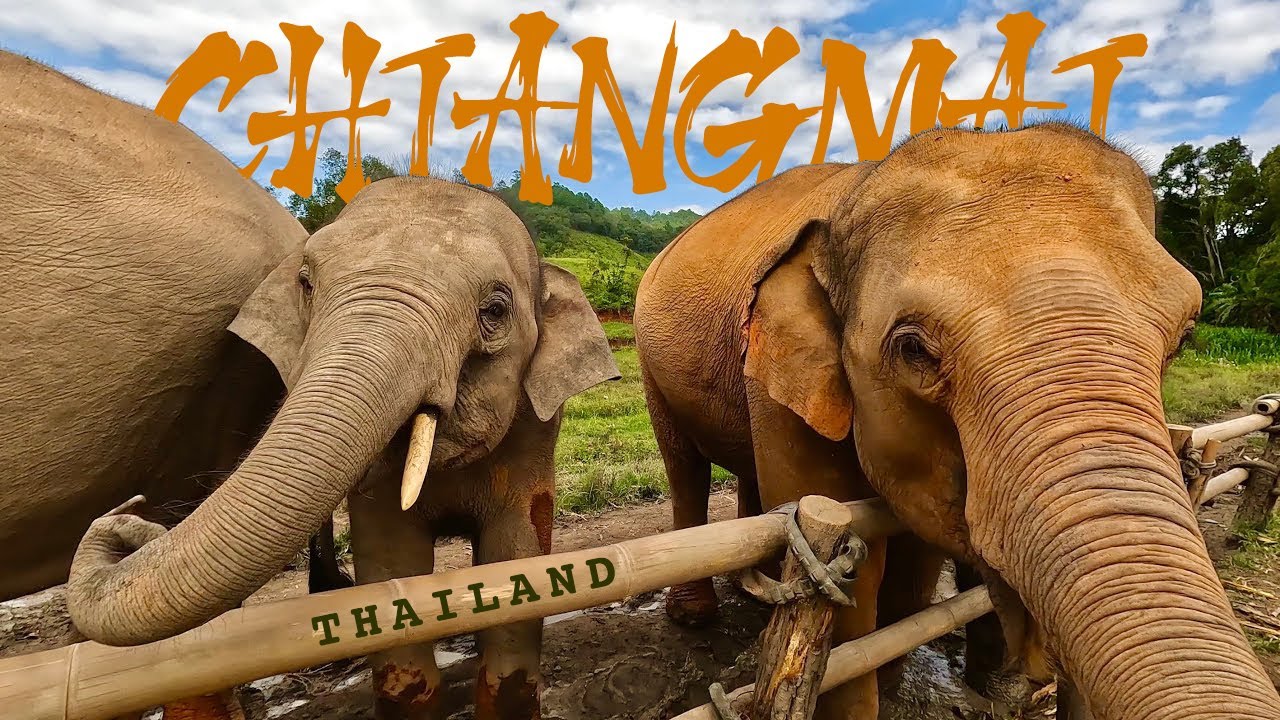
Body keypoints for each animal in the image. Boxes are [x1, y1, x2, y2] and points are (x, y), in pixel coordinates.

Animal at [1, 52, 619, 719]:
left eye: (496, 310)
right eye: (305, 284)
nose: (130, 520)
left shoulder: (535, 429)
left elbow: (515, 555)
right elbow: (392, 563)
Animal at [634, 123, 1280, 720]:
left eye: (1185, 337)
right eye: (914, 349)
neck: (856, 192)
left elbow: (917, 554)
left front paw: (940, 685)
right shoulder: (785, 385)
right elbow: (853, 568)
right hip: (647, 356)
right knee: (685, 468)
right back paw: (695, 615)